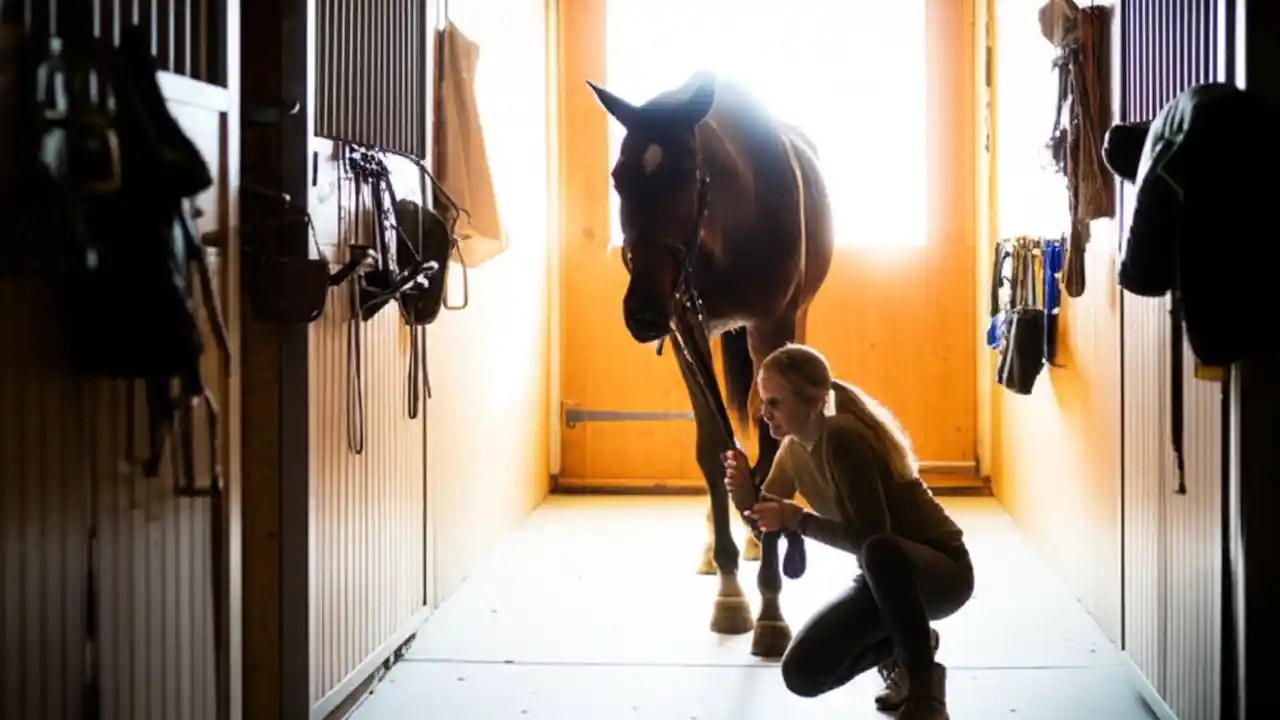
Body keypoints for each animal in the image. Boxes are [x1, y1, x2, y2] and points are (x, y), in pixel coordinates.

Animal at [587, 72, 834, 658]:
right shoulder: (687, 326)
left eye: (682, 175)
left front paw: (770, 605)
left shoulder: (773, 325)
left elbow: (772, 447)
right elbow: (712, 445)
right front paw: (730, 591)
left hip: (788, 323)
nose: (642, 312)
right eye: (619, 178)